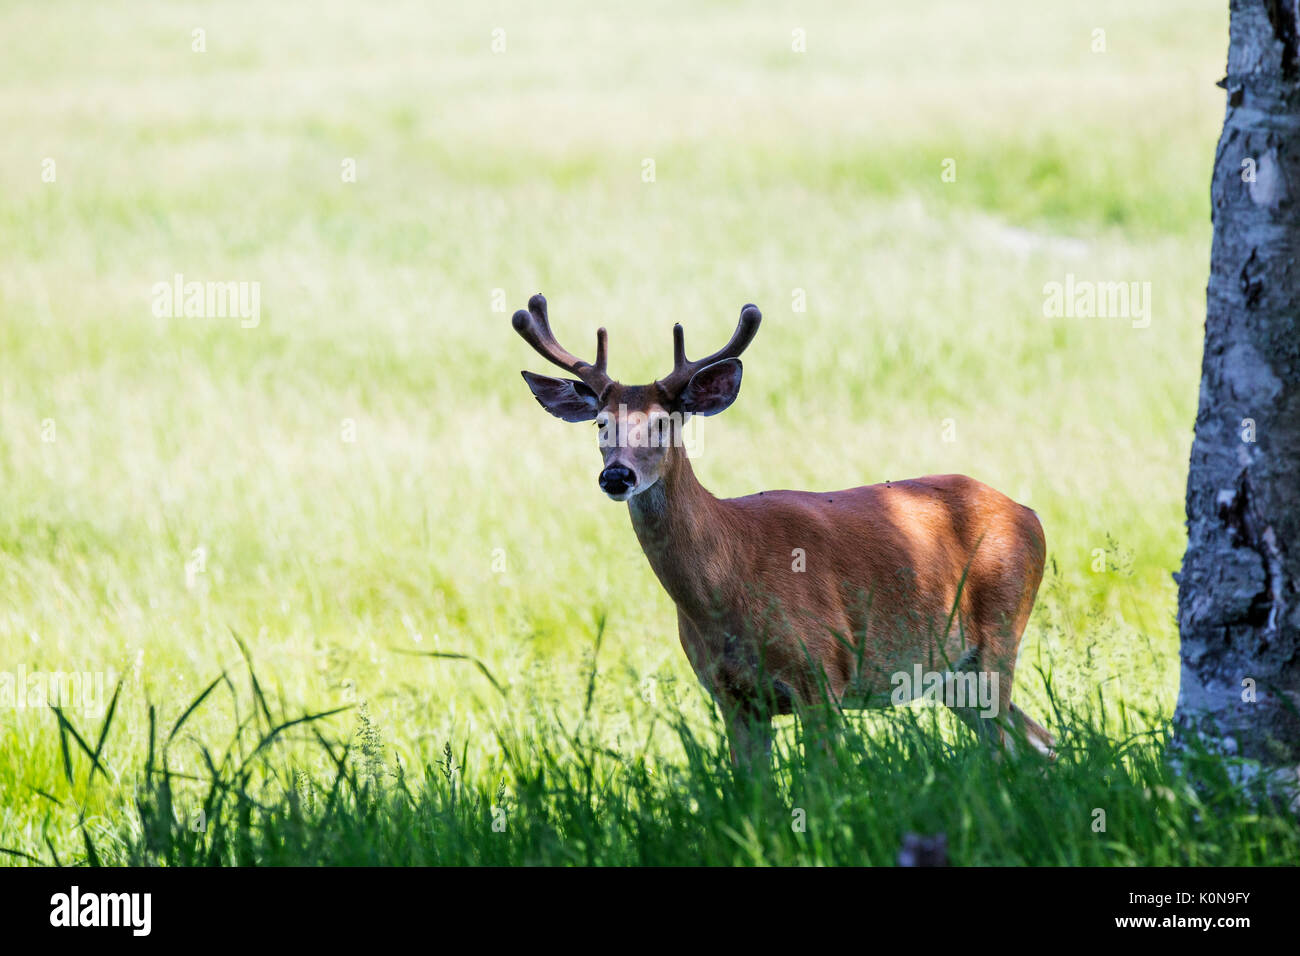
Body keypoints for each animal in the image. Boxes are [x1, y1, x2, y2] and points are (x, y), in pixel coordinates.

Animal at [511, 293, 1055, 766]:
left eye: (665, 423)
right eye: (601, 424)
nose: (616, 476)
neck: (728, 583)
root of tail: (1030, 513)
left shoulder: (823, 673)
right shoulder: (733, 699)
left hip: (999, 634)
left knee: (1010, 744)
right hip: (953, 673)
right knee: (1037, 739)